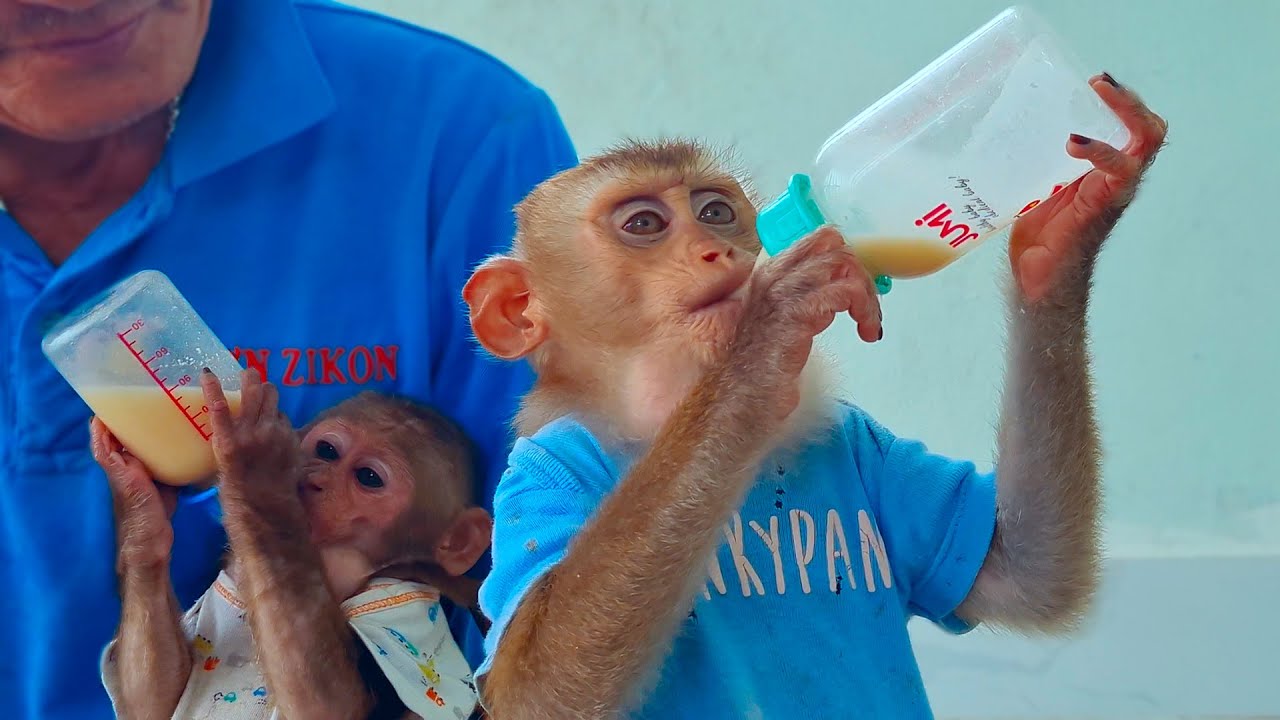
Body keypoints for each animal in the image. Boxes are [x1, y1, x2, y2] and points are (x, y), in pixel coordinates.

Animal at [94, 370, 493, 720]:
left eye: (368, 477)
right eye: (327, 450)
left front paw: (255, 463)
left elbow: (334, 705)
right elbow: (153, 704)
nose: (315, 479)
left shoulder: (405, 608)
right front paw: (136, 497)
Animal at [462, 76, 1166, 719]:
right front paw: (770, 325)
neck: (667, 410)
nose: (719, 250)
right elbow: (539, 686)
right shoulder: (538, 469)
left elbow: (1023, 569)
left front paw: (1067, 228)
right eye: (643, 223)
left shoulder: (864, 436)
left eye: (715, 211)